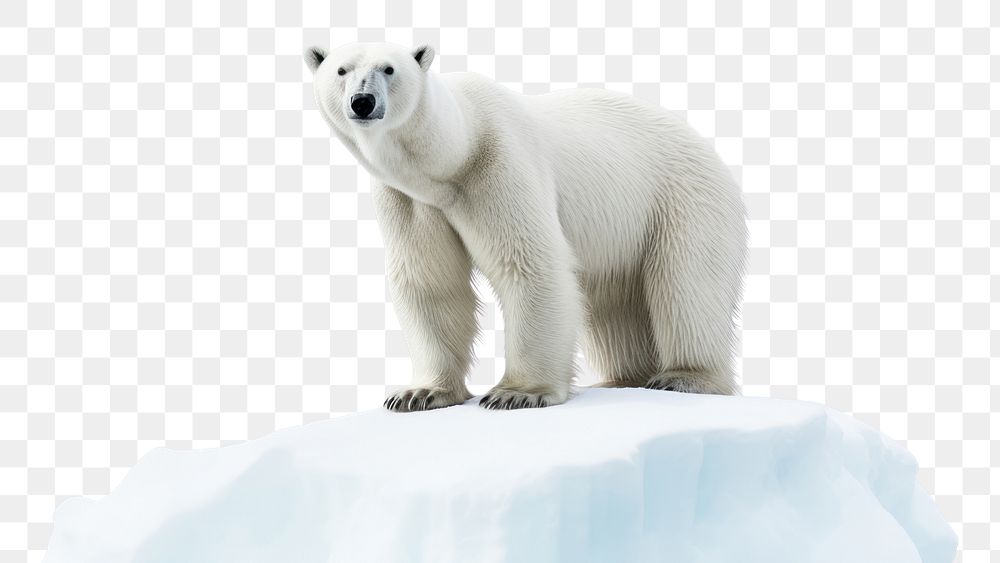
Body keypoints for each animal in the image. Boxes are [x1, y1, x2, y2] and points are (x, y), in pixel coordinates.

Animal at [303, 42, 748, 412]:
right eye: (341, 69)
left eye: (389, 68)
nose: (363, 102)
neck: (452, 159)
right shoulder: (412, 202)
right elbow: (430, 281)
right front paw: (419, 393)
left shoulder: (500, 166)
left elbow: (530, 263)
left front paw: (517, 393)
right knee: (614, 304)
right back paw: (621, 378)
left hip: (682, 199)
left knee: (686, 286)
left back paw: (683, 377)